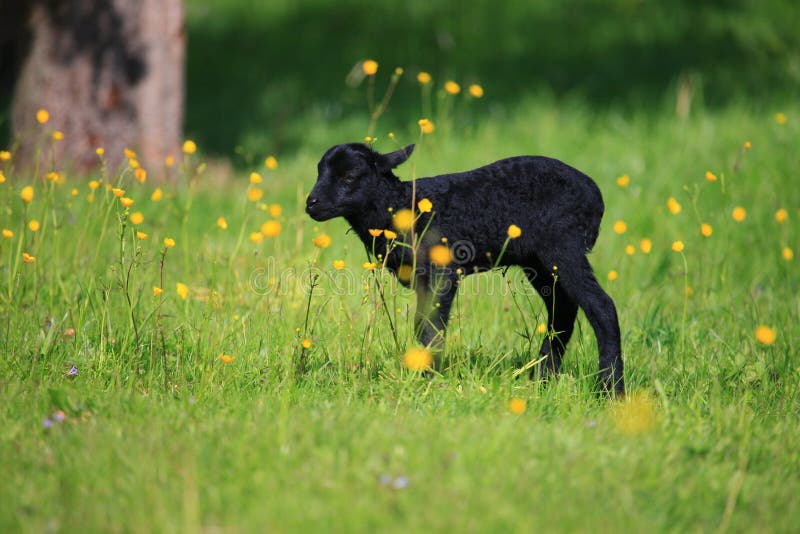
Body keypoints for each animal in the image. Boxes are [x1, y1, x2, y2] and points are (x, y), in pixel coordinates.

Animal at [306, 142, 624, 395]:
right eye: (319, 173)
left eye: (349, 177)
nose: (311, 204)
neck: (400, 207)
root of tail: (595, 195)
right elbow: (422, 323)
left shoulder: (443, 271)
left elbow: (431, 325)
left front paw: (428, 379)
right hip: (537, 260)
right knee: (563, 309)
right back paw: (542, 379)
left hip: (562, 245)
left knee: (601, 306)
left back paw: (609, 389)